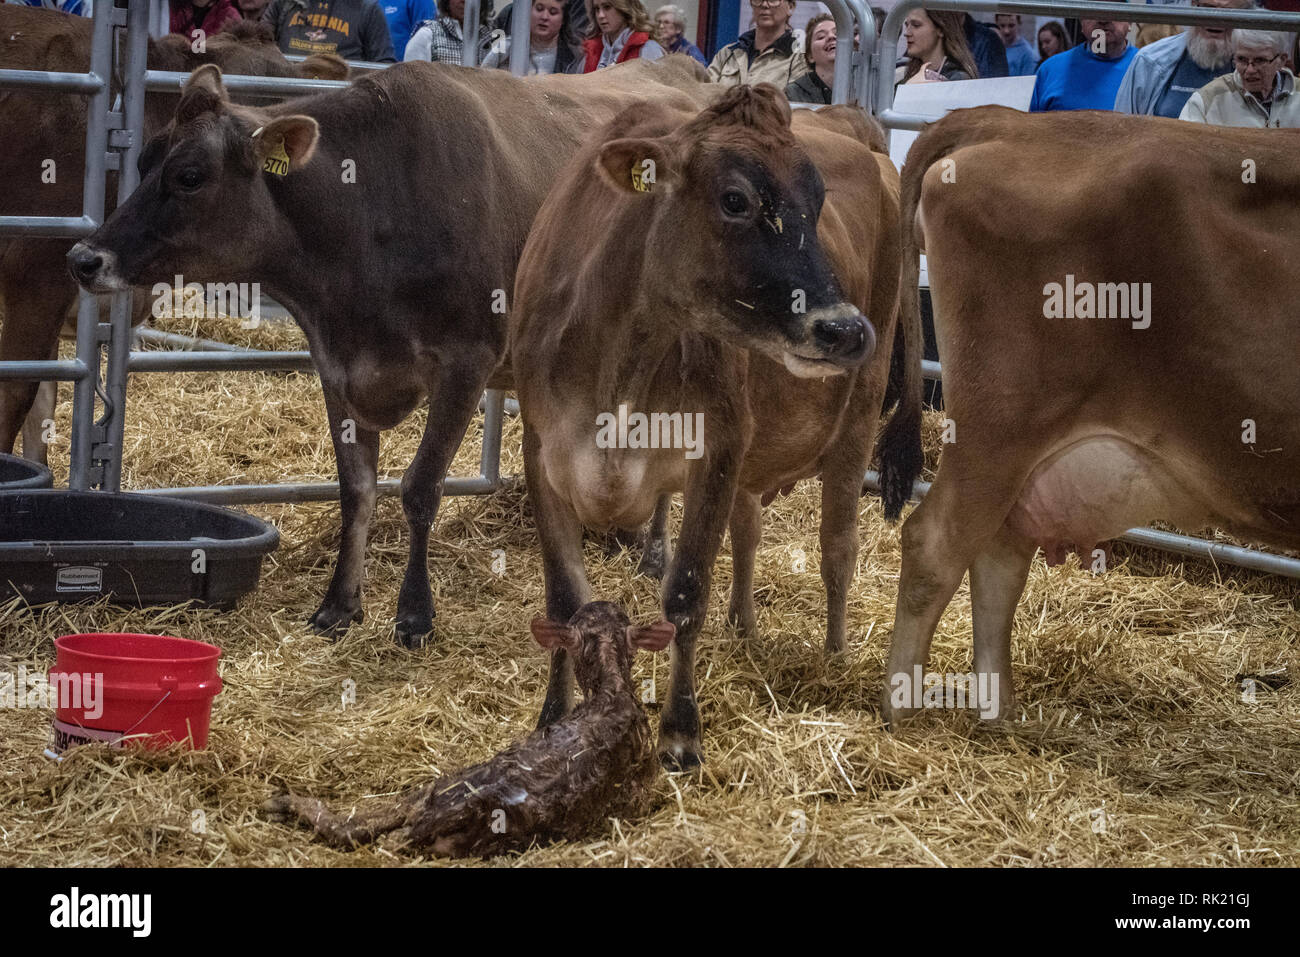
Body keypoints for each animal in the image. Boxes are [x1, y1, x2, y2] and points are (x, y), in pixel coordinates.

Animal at [67, 55, 716, 646]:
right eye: (144, 161)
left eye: (190, 176)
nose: (83, 257)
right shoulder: (336, 365)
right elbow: (356, 490)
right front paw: (339, 604)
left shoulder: (467, 361)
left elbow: (420, 487)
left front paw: (414, 614)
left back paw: (657, 555)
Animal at [511, 85, 922, 769]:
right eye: (736, 199)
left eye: (818, 200)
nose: (844, 329)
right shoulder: (543, 451)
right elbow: (564, 602)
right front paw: (552, 719)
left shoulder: (719, 446)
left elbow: (685, 595)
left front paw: (680, 732)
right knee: (750, 531)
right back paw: (744, 626)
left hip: (860, 414)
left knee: (838, 547)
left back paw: (834, 654)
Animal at [882, 105, 1300, 727]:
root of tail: (1003, 119)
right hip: (998, 426)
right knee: (934, 546)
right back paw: (900, 714)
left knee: (999, 555)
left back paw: (999, 716)